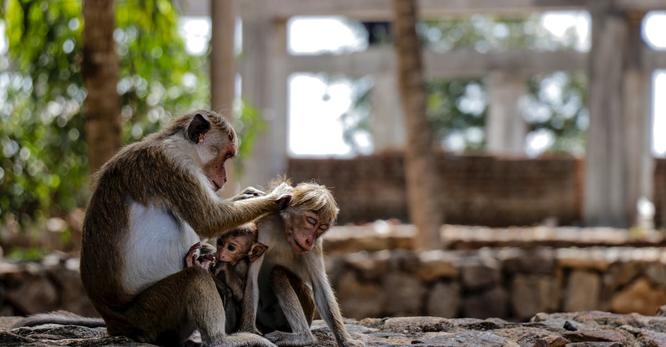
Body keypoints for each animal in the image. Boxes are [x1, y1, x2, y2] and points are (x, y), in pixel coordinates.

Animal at [16, 111, 288, 347]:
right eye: (227, 155)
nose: (224, 180)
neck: (181, 146)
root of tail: (114, 323)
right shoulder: (174, 166)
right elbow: (208, 220)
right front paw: (276, 196)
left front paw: (246, 195)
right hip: (148, 314)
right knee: (194, 279)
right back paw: (221, 340)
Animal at [239, 182, 364, 347]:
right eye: (311, 221)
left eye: (322, 228)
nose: (309, 240)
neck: (285, 231)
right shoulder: (264, 225)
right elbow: (252, 278)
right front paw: (248, 332)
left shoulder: (316, 245)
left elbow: (319, 286)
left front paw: (346, 340)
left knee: (278, 273)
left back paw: (303, 337)